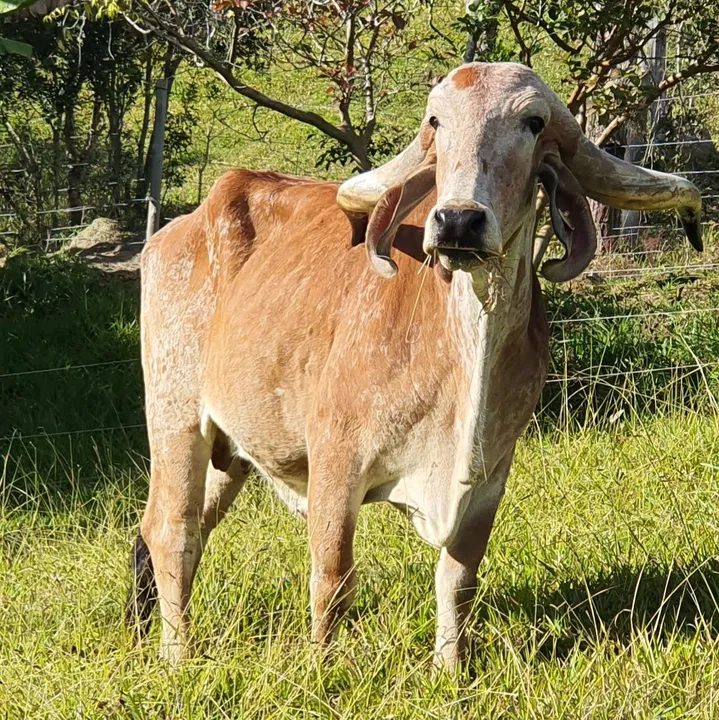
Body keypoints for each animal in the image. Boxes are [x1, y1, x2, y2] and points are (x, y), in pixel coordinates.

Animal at [126, 62, 702, 669]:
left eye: (533, 122)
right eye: (435, 121)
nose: (458, 221)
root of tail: (180, 227)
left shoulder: (490, 477)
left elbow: (457, 580)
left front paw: (450, 667)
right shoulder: (335, 458)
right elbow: (332, 578)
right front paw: (323, 669)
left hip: (229, 451)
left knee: (173, 531)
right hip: (177, 419)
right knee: (172, 532)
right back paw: (176, 652)